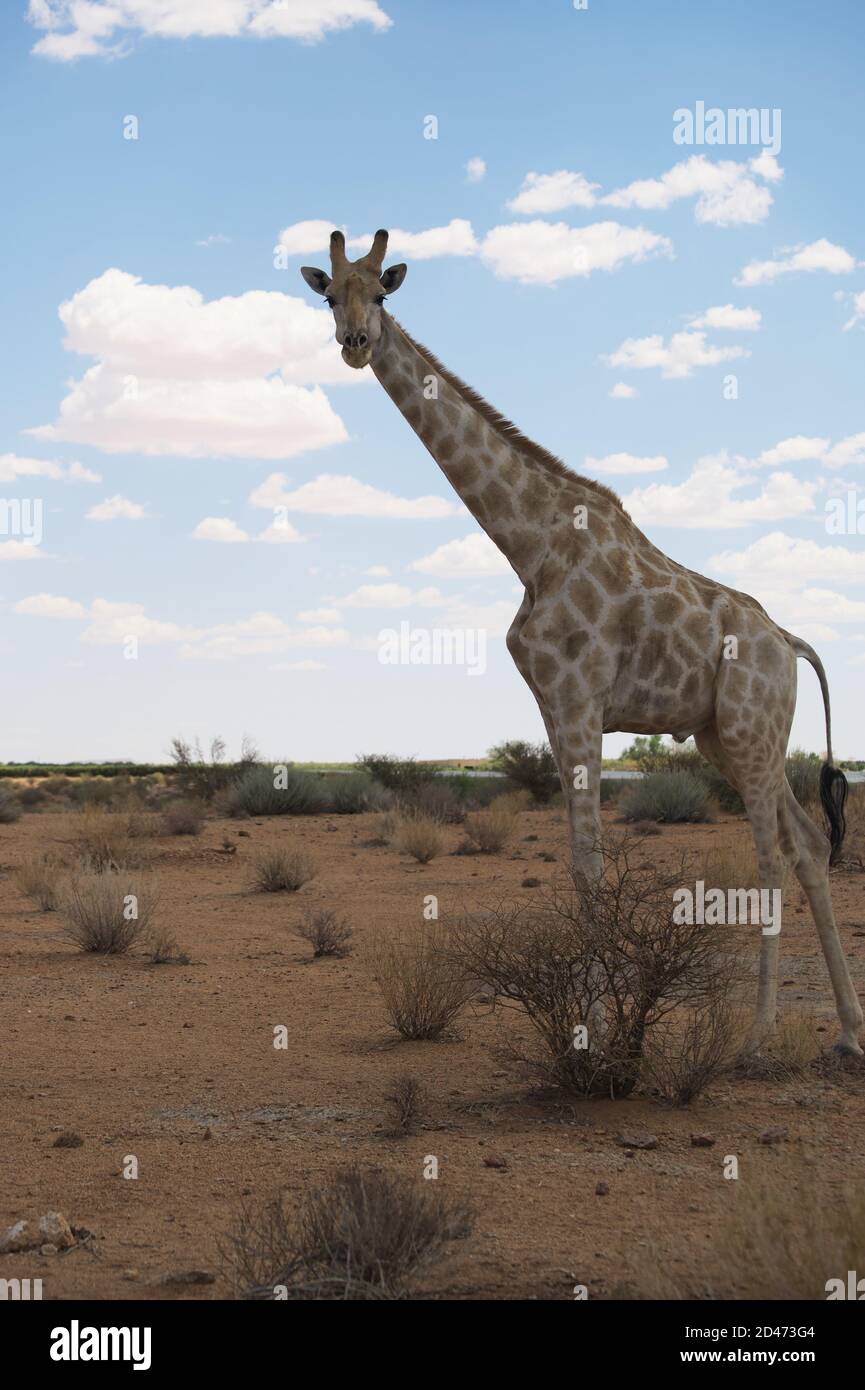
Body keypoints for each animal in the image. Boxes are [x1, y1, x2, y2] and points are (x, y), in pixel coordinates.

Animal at [301, 229, 862, 1056]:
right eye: (329, 296)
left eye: (381, 292)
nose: (355, 342)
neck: (527, 544)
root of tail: (789, 642)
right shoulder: (550, 704)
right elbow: (576, 861)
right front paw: (588, 1023)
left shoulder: (580, 695)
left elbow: (590, 864)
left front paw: (591, 1034)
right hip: (723, 736)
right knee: (810, 846)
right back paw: (848, 1032)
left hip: (751, 729)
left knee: (770, 852)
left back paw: (758, 1033)